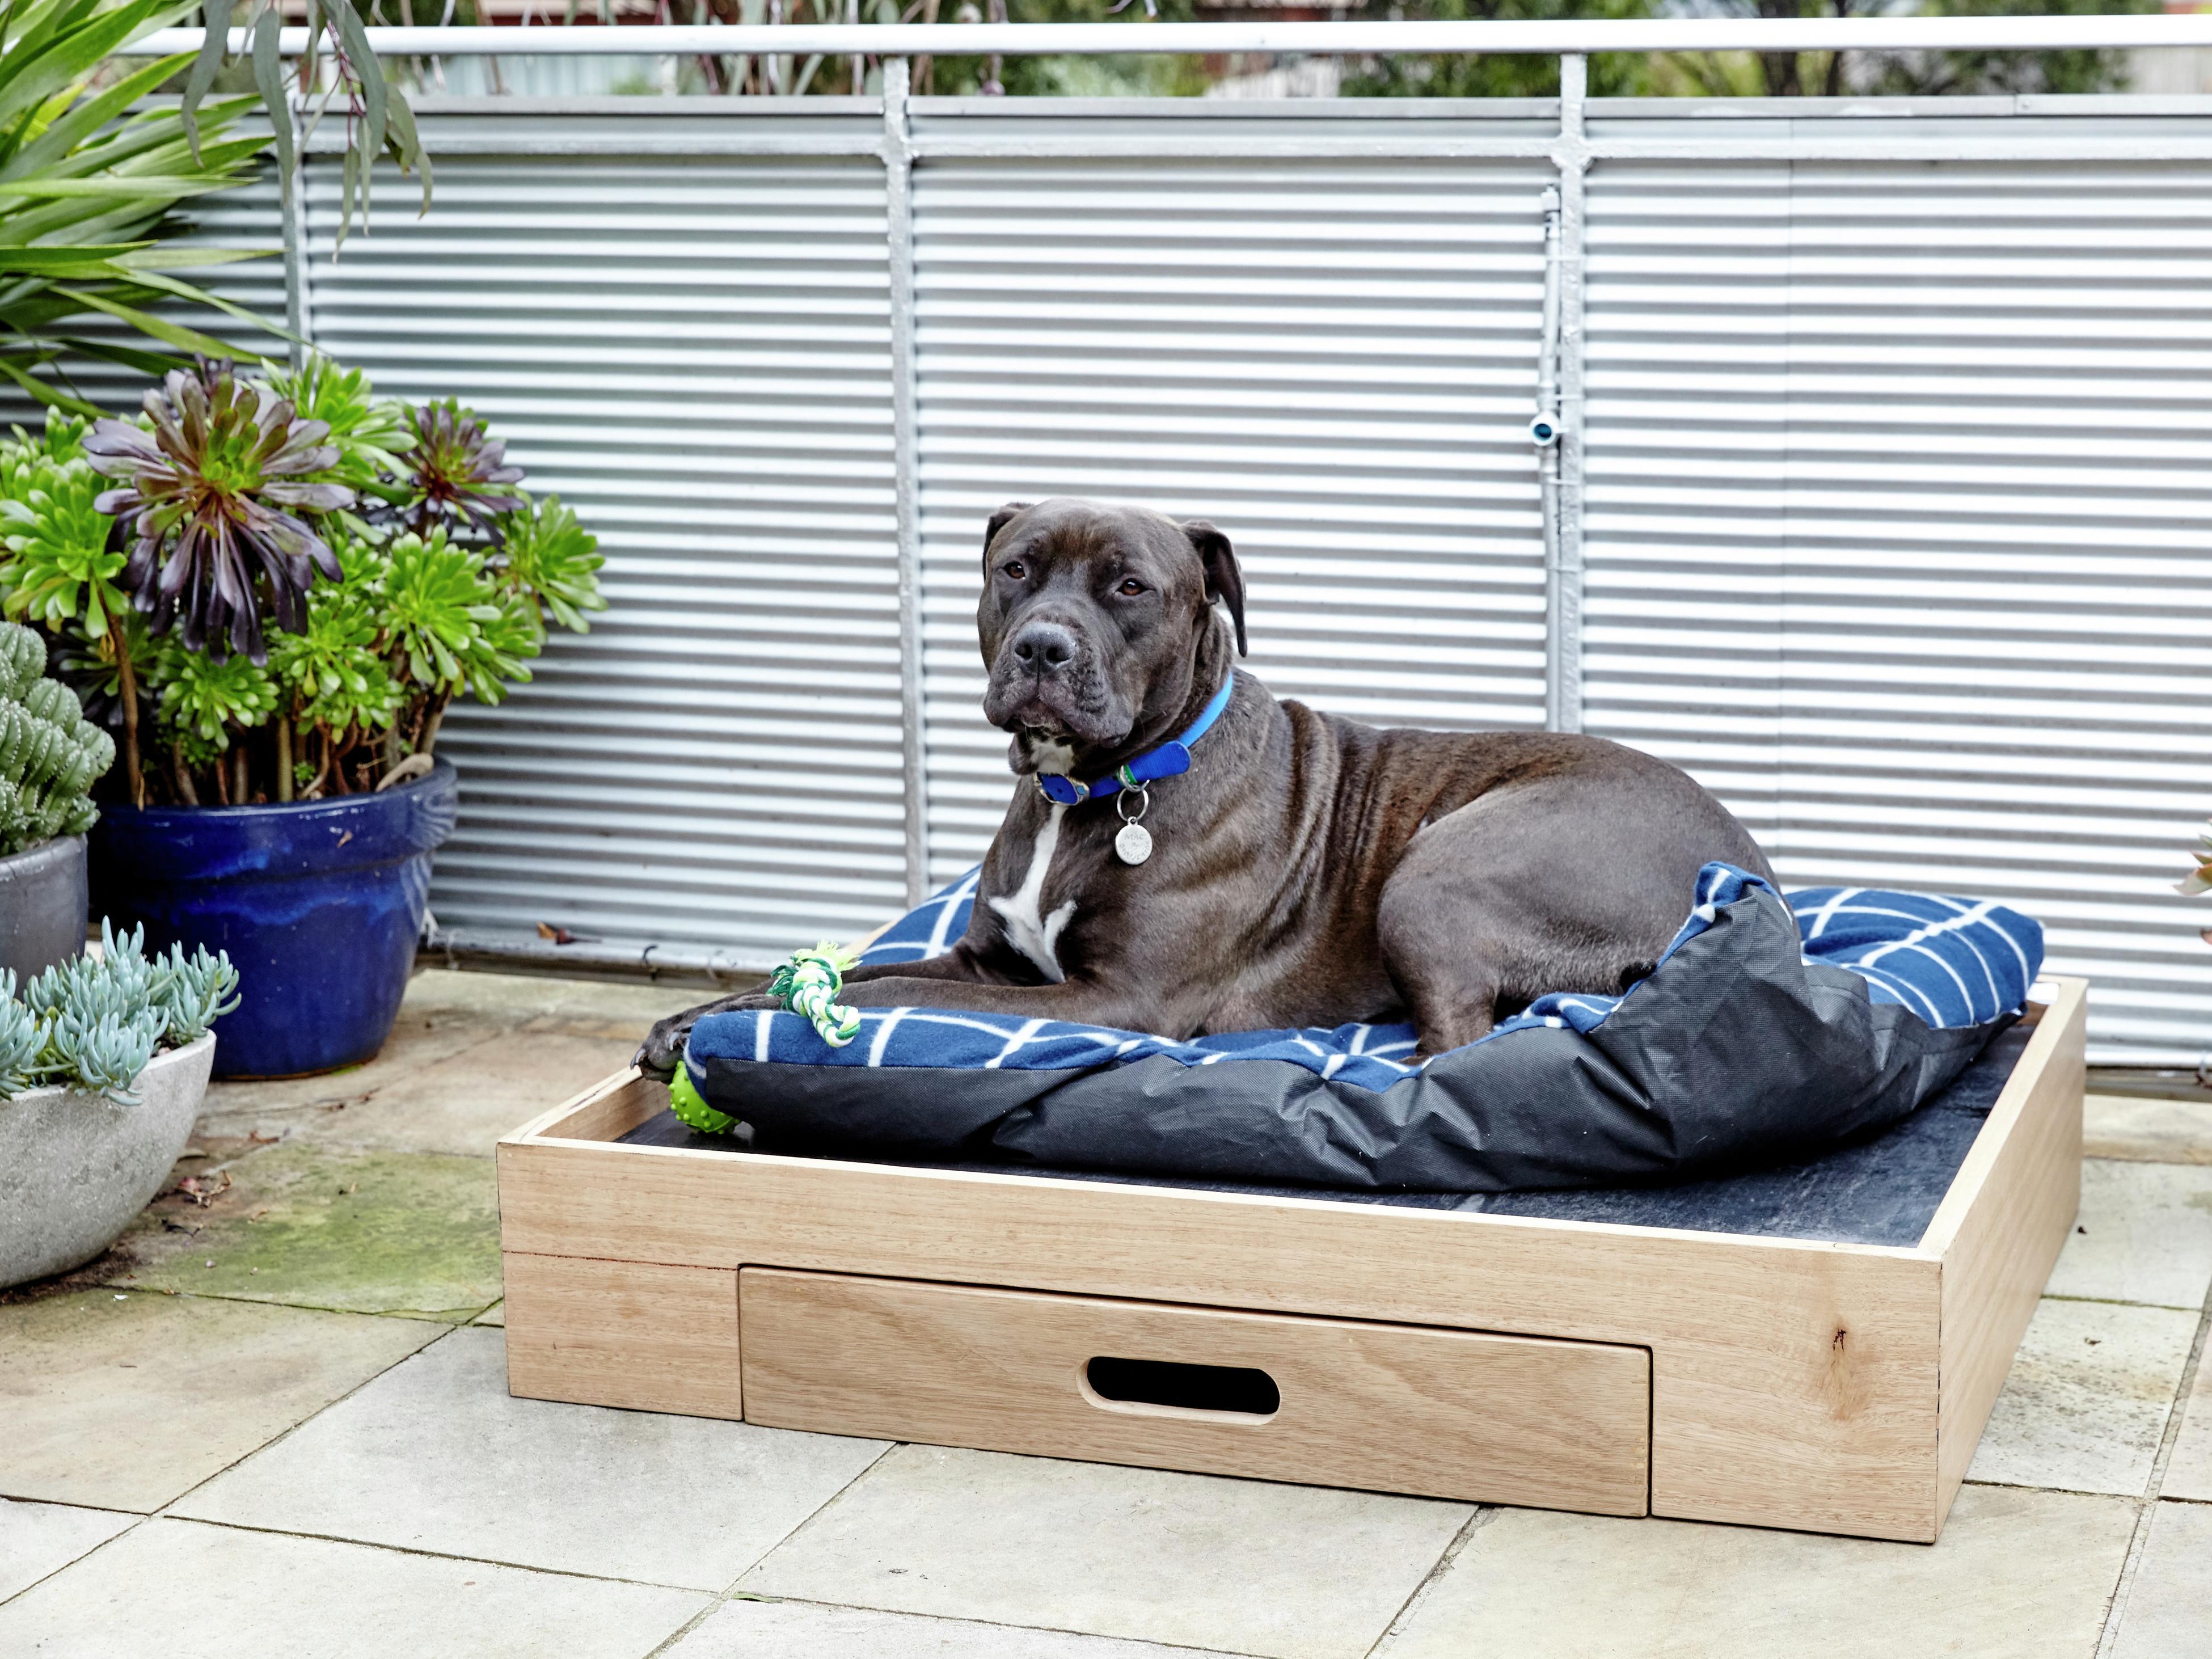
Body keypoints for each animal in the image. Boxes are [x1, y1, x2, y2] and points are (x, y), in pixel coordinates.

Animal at [637, 500, 1761, 1070]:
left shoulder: (1116, 998)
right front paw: (701, 1017)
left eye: (1131, 587)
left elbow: (898, 995)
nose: (1043, 647)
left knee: (1458, 1047)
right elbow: (864, 977)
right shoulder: (994, 962)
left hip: (1440, 874)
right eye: (1016, 568)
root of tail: (1744, 869)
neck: (1090, 793)